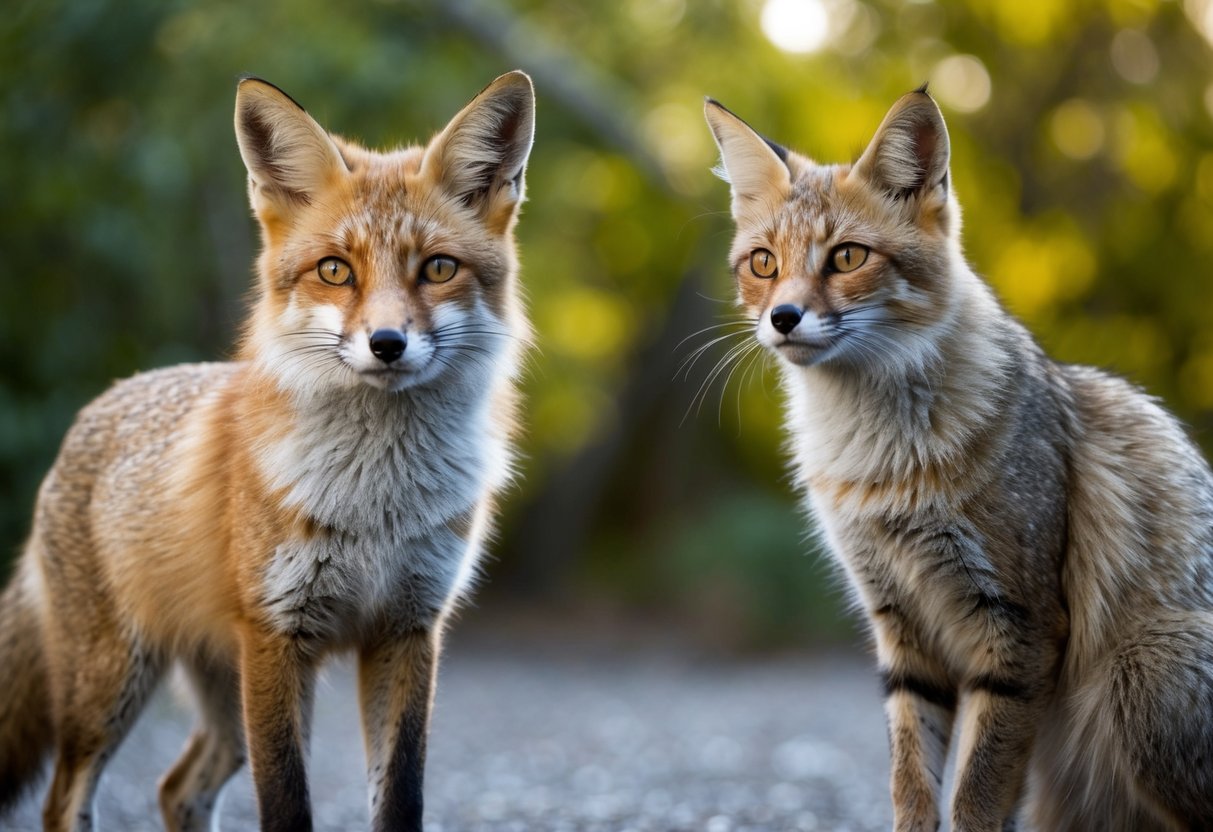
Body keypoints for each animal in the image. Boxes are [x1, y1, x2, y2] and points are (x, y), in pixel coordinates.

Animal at [0, 70, 535, 832]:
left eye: (437, 268)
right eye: (335, 271)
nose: (387, 344)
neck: (378, 503)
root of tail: (96, 407)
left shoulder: (407, 629)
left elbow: (400, 797)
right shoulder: (279, 633)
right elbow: (286, 803)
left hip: (221, 704)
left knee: (177, 786)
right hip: (111, 687)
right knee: (65, 798)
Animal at [704, 87, 1213, 831]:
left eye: (846, 257)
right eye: (764, 263)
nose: (783, 318)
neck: (883, 463)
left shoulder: (1016, 629)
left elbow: (976, 790)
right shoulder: (900, 627)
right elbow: (911, 781)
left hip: (1139, 680)